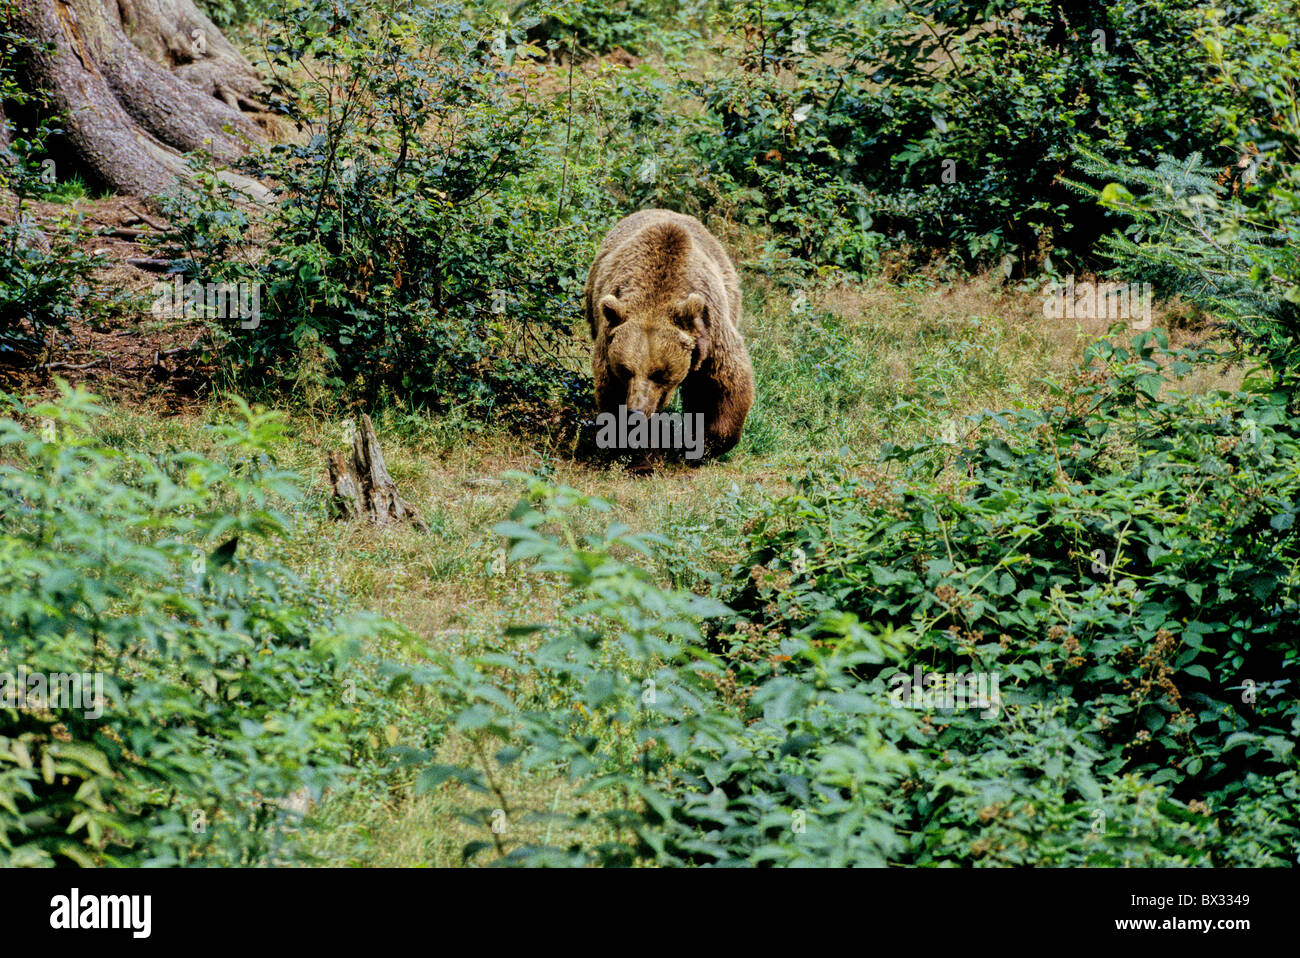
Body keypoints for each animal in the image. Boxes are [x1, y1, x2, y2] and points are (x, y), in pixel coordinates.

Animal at [585, 209, 754, 464]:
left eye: (660, 373)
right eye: (625, 369)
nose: (636, 411)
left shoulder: (710, 330)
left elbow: (722, 384)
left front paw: (703, 443)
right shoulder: (609, 340)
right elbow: (612, 396)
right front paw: (641, 455)